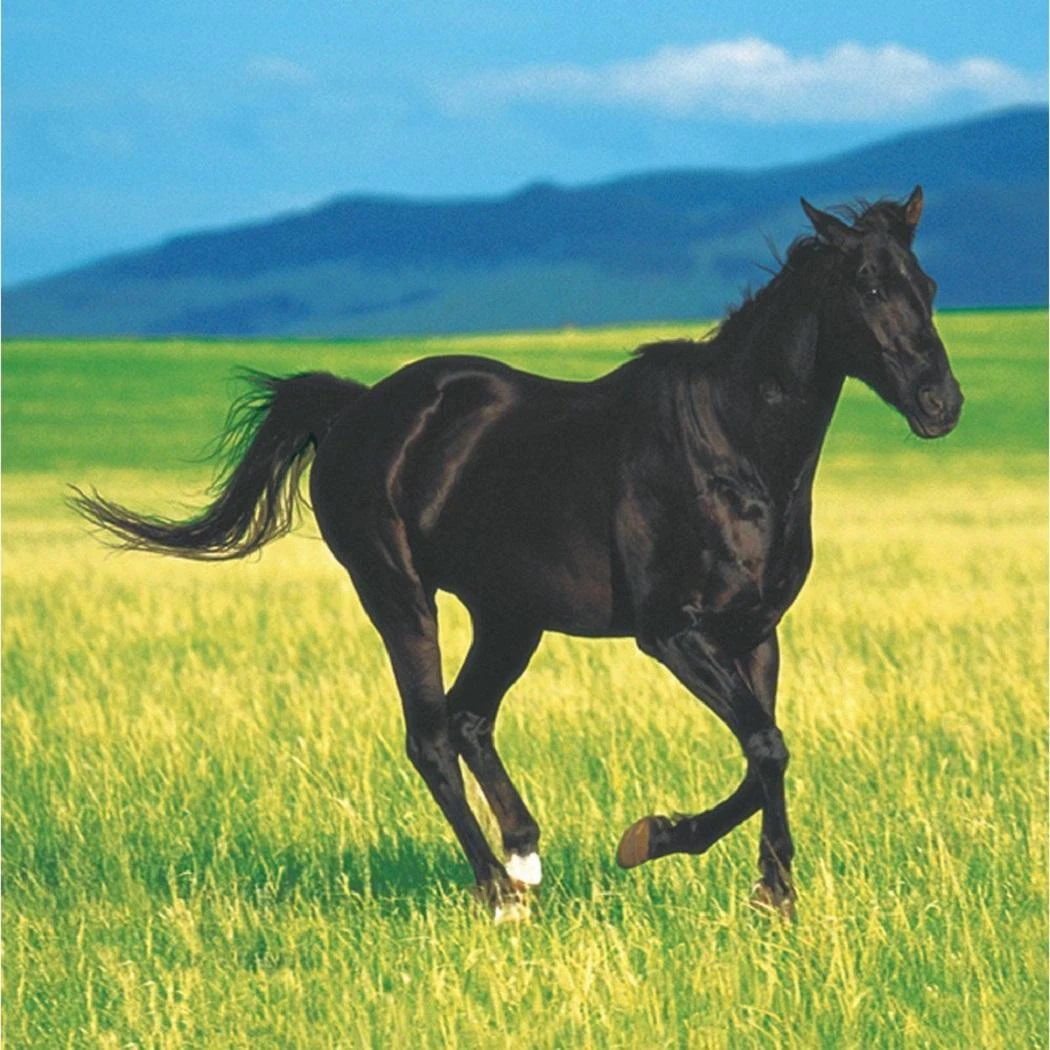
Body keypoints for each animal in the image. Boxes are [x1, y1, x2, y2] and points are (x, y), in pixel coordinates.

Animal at [70, 187, 963, 920]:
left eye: (928, 286)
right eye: (869, 287)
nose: (941, 404)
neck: (731, 450)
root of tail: (357, 409)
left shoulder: (756, 632)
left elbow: (764, 754)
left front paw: (760, 887)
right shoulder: (673, 634)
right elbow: (766, 748)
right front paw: (665, 844)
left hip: (509, 615)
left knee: (469, 717)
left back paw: (527, 854)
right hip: (398, 596)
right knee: (430, 735)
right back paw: (500, 894)